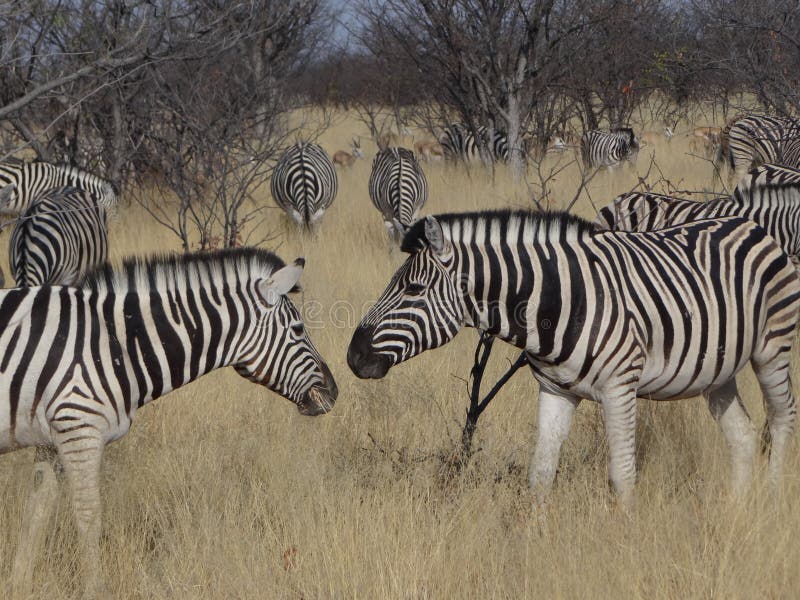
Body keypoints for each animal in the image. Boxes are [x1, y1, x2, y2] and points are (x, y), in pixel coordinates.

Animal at [3, 247, 337, 597]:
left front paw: (18, 584)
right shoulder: (79, 427)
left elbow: (37, 510)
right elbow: (88, 515)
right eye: (298, 329)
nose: (334, 391)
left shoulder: (52, 437)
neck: (117, 343)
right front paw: (95, 590)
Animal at [347, 210, 800, 505]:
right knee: (743, 436)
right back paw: (736, 513)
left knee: (782, 419)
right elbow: (541, 474)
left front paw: (627, 549)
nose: (354, 355)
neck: (555, 301)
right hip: (716, 371)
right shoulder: (556, 390)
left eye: (414, 289)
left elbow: (623, 475)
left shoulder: (620, 388)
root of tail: (750, 225)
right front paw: (535, 549)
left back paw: (772, 504)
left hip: (772, 350)